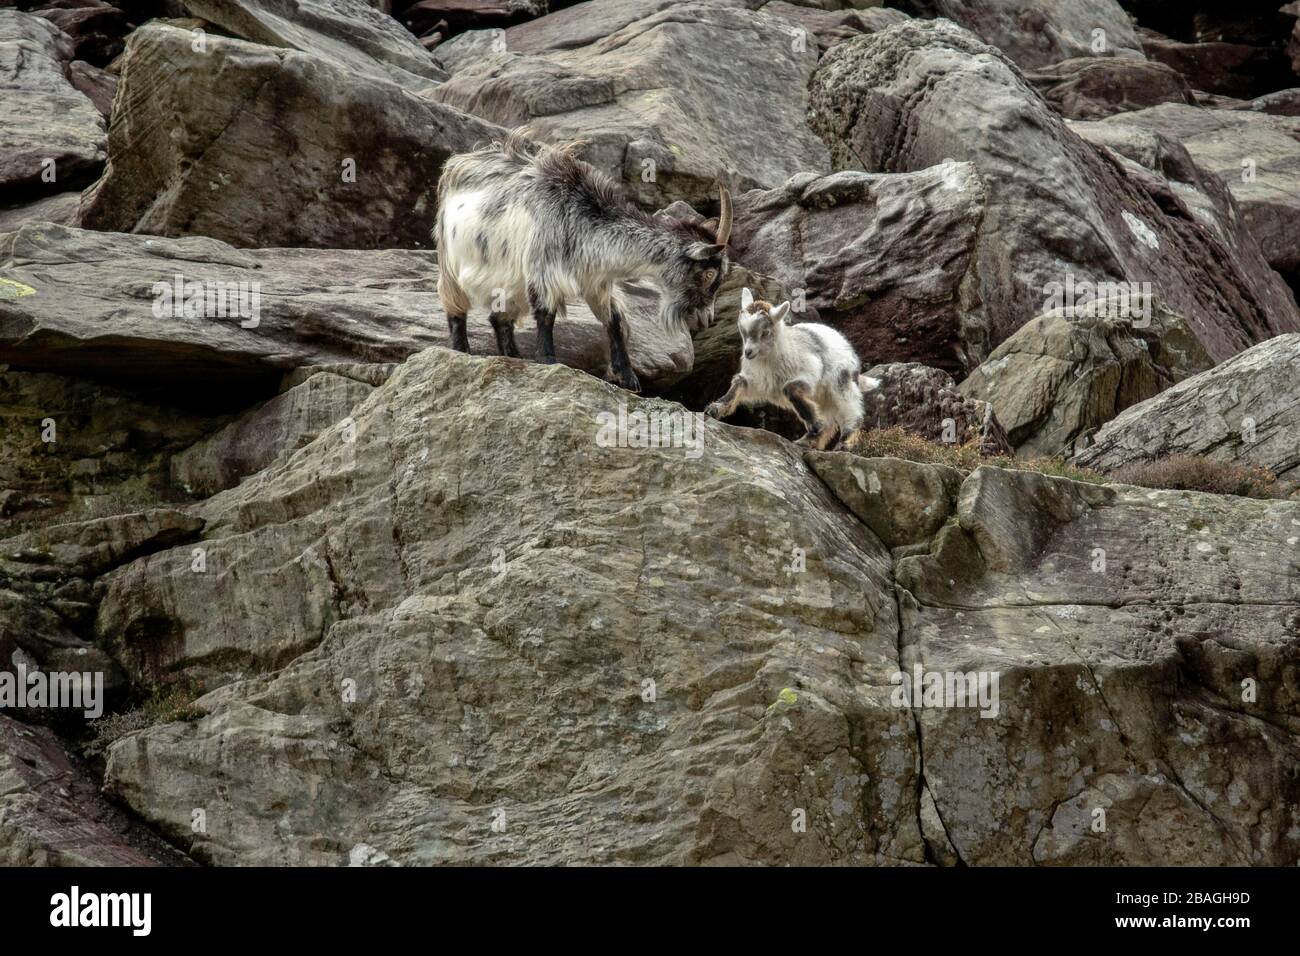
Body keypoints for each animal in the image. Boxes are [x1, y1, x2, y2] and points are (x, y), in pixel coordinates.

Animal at [434, 131, 733, 392]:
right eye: (708, 274)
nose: (706, 318)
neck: (582, 216)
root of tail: (456, 165)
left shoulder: (595, 281)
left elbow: (614, 320)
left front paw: (629, 378)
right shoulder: (543, 270)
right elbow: (546, 314)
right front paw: (548, 361)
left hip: (509, 281)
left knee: (500, 319)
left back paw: (514, 356)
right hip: (451, 263)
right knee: (456, 309)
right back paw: (462, 350)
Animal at [705, 288, 864, 450]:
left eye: (765, 332)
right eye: (742, 331)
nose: (748, 352)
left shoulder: (810, 372)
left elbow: (789, 388)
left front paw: (815, 424)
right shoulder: (756, 380)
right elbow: (738, 383)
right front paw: (715, 408)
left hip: (841, 381)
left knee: (852, 411)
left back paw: (843, 442)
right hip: (822, 397)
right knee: (829, 421)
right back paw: (807, 440)